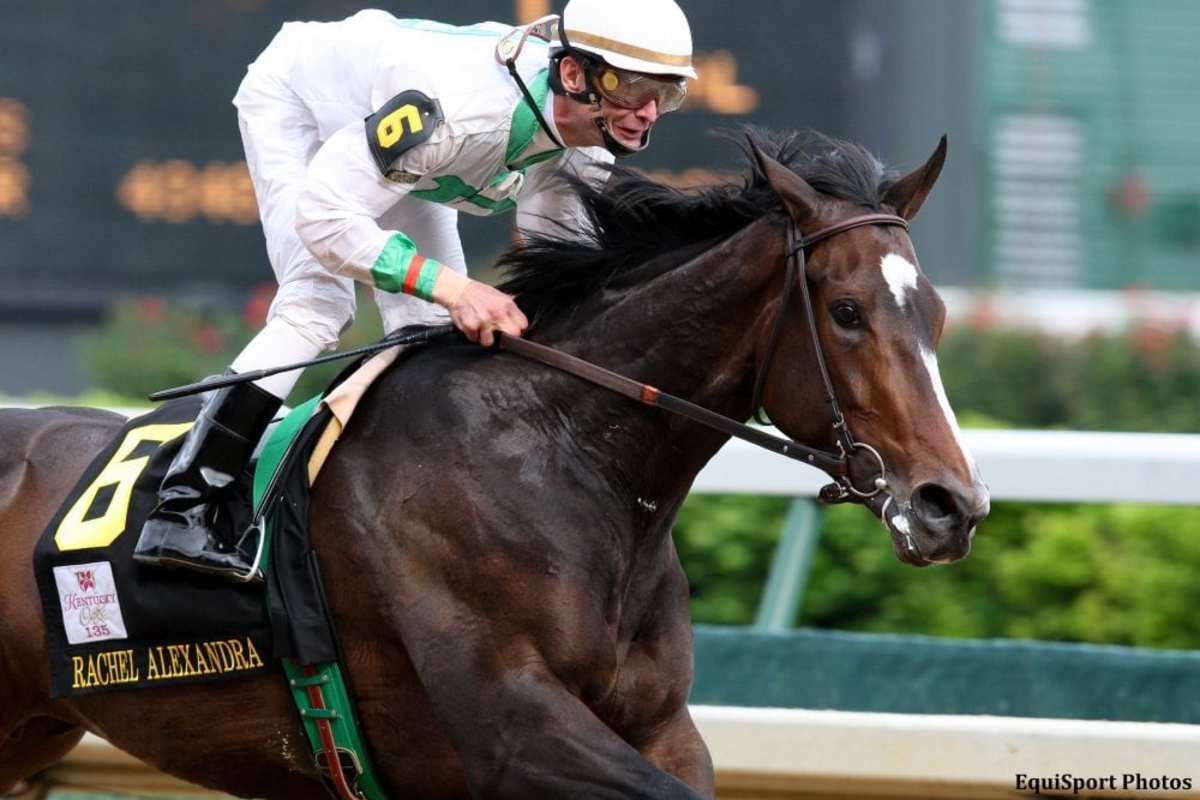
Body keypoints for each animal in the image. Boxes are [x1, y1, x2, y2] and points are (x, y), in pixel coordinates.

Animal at [0, 130, 989, 799]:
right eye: (848, 311)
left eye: (938, 314)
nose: (952, 504)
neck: (564, 457)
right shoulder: (513, 728)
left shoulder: (661, 726)